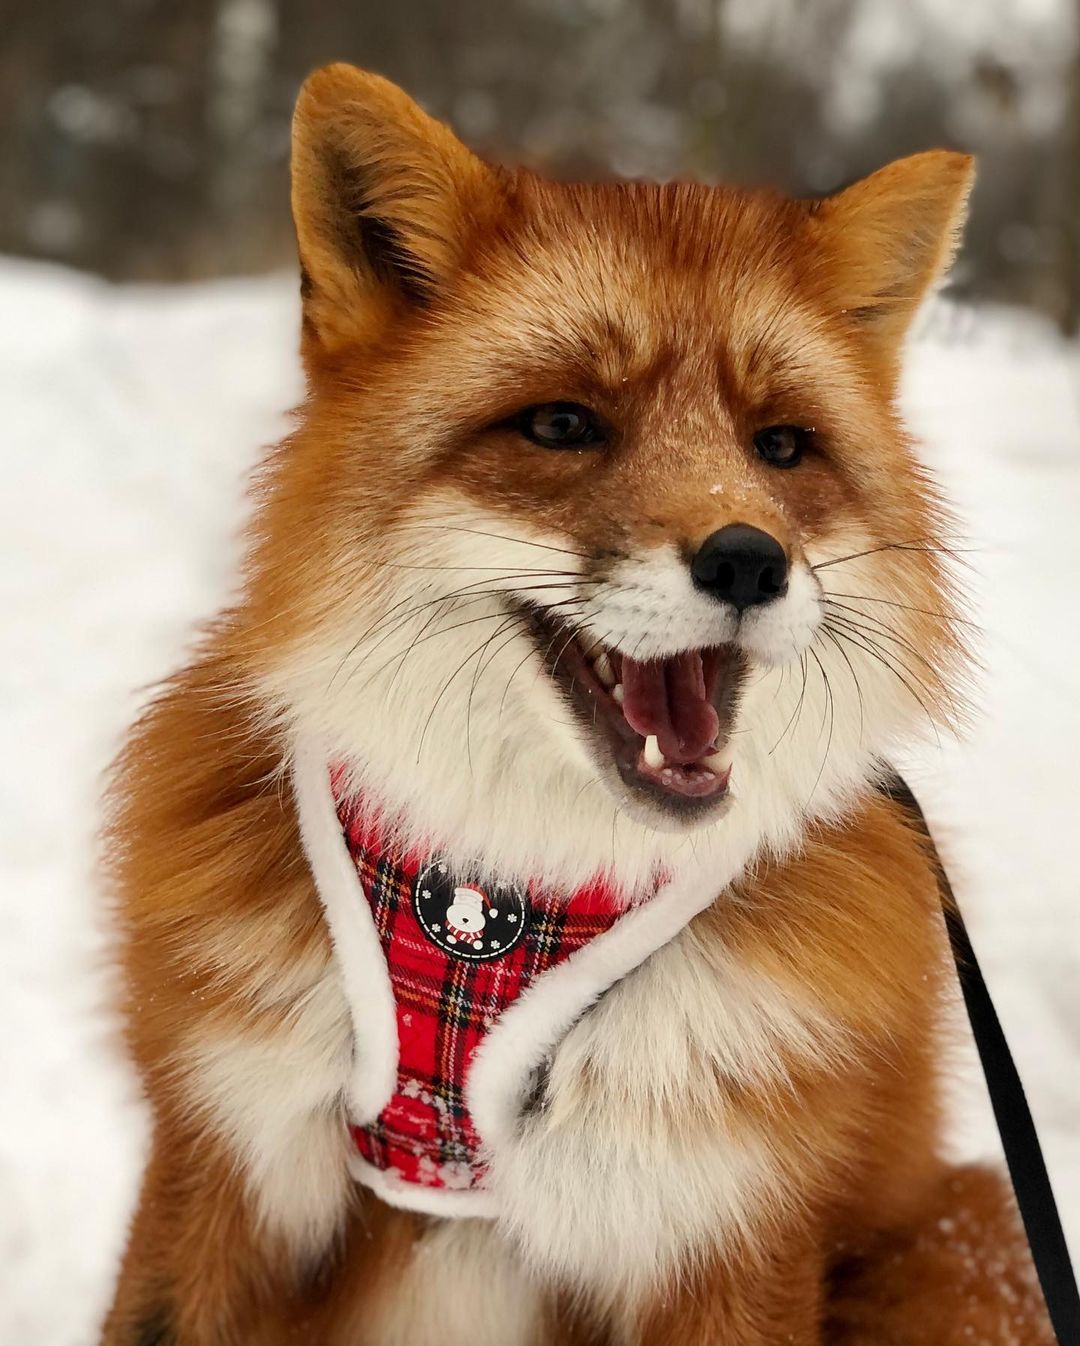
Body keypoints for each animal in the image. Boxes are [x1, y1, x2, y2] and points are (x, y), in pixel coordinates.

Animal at [100, 63, 1054, 1346]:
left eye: (781, 446)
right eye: (562, 423)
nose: (751, 560)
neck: (505, 879)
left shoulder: (719, 1220)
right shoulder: (223, 1150)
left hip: (967, 1233)